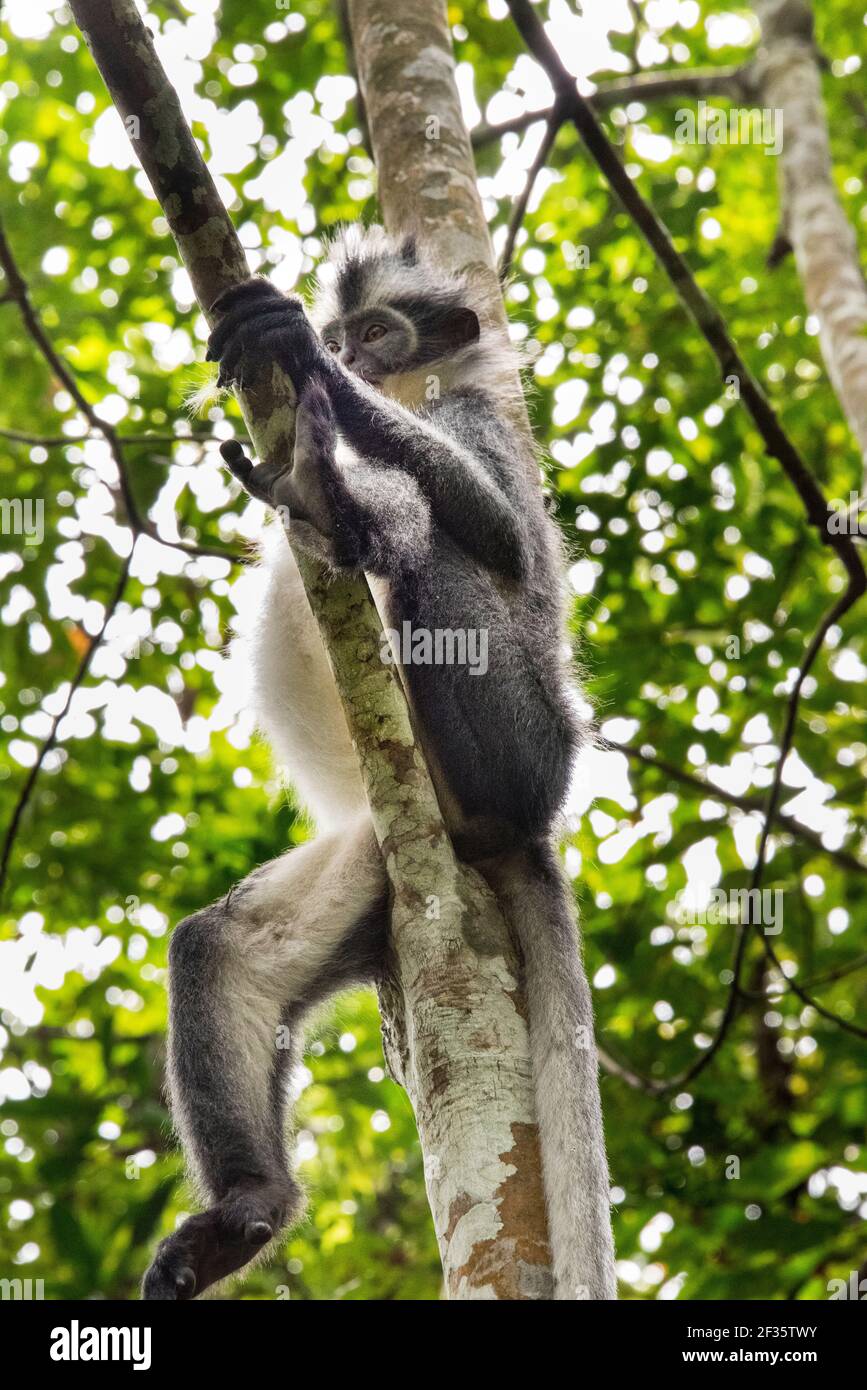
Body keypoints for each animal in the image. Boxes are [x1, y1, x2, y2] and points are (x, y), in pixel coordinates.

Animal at [142, 227, 616, 1301]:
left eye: (374, 334)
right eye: (345, 329)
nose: (341, 355)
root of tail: (532, 819)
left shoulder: (477, 418)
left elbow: (502, 533)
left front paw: (297, 362)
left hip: (521, 742)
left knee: (430, 537)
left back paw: (342, 504)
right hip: (377, 858)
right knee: (219, 949)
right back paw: (247, 1211)